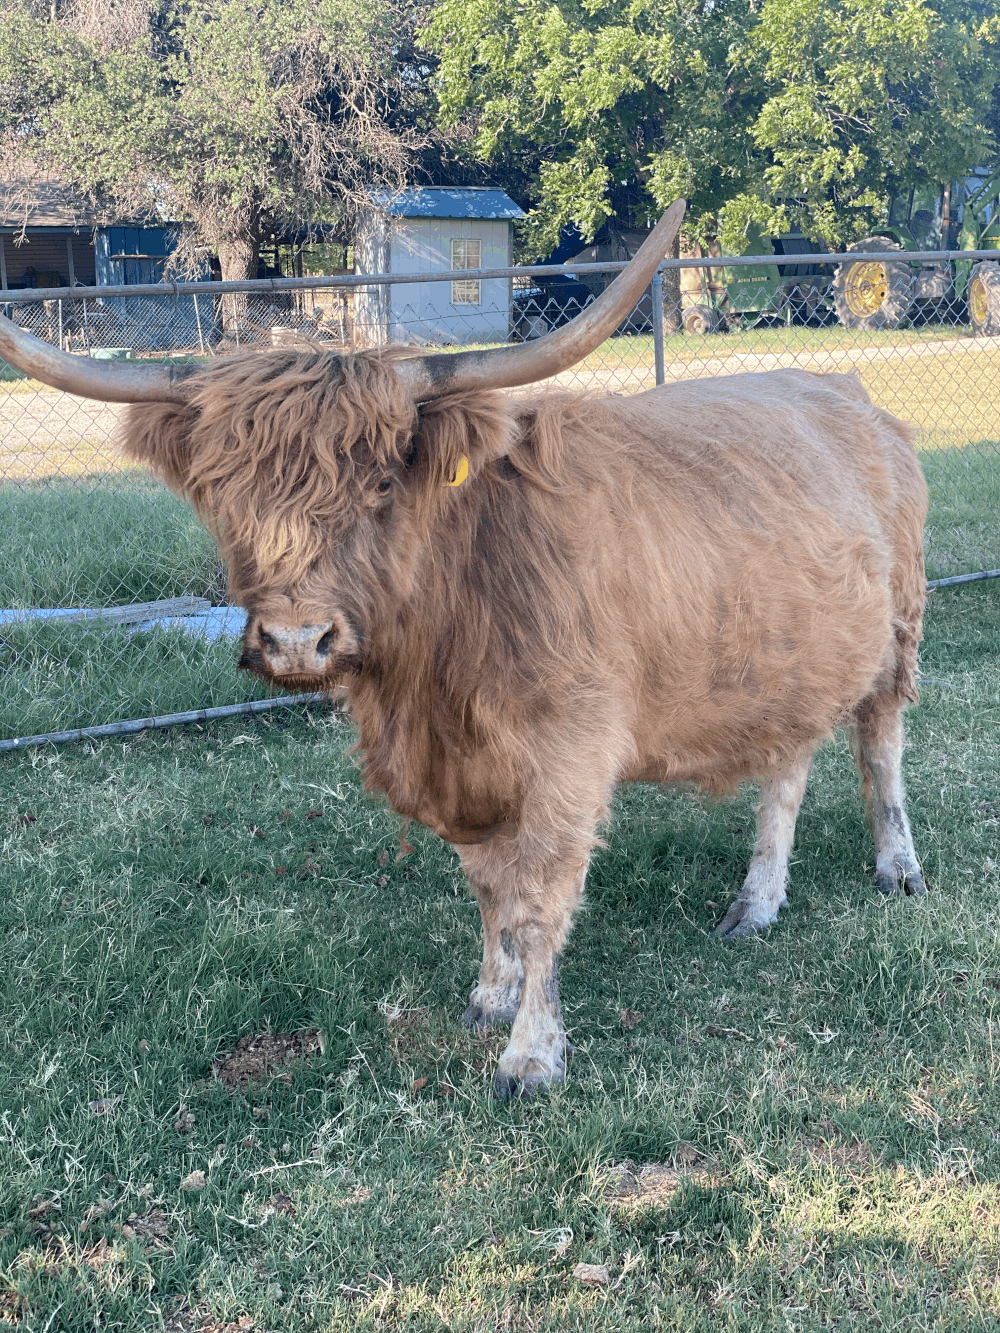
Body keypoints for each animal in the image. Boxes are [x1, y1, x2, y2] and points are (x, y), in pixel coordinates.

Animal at [0, 201, 928, 1099]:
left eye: (380, 482)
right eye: (224, 498)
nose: (298, 640)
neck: (436, 672)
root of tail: (841, 390)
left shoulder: (569, 754)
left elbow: (541, 896)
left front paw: (532, 1053)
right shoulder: (456, 769)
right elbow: (490, 888)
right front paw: (492, 993)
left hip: (898, 633)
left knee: (879, 746)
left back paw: (899, 869)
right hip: (790, 661)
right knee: (787, 769)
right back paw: (757, 902)